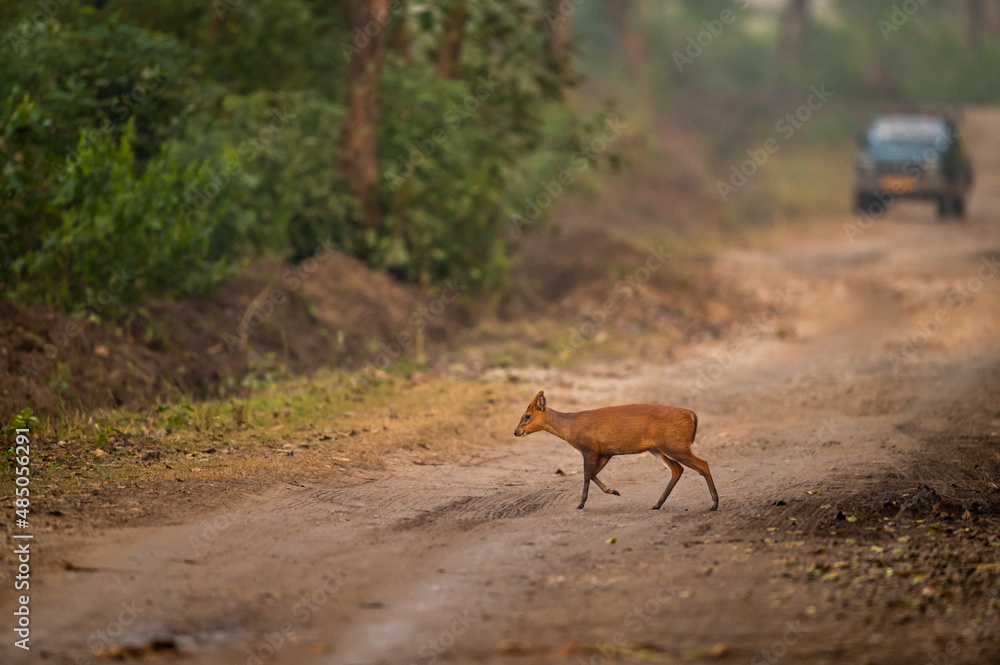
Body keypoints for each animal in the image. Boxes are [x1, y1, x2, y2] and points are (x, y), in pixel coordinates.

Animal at [513, 390, 718, 511]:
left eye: (527, 416)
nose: (516, 432)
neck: (570, 427)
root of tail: (692, 415)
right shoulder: (605, 451)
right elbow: (592, 474)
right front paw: (613, 491)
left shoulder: (589, 448)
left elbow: (587, 475)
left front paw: (581, 504)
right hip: (658, 447)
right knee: (677, 469)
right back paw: (657, 504)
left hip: (676, 445)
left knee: (702, 464)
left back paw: (715, 504)